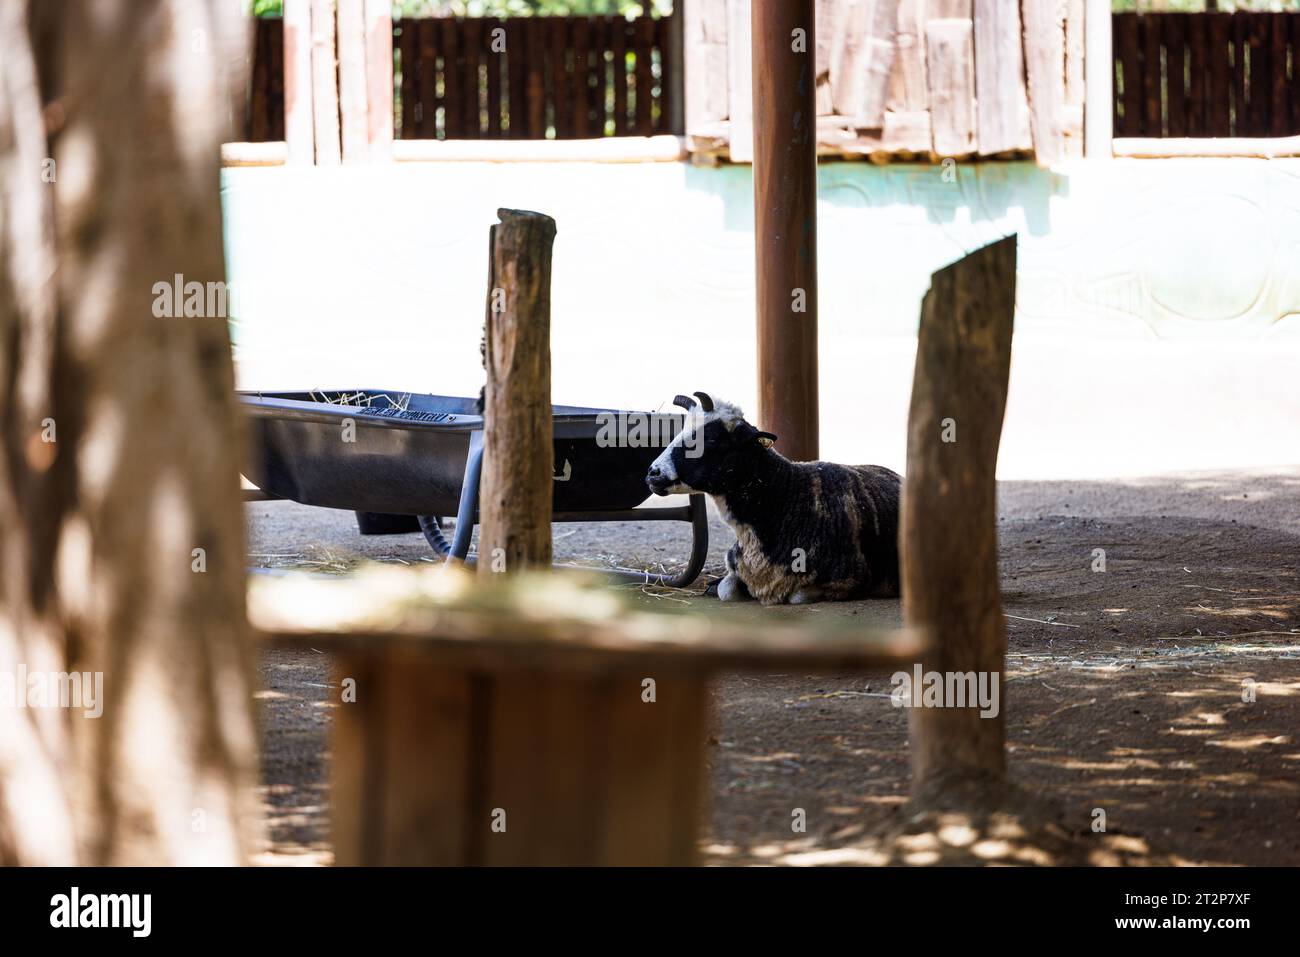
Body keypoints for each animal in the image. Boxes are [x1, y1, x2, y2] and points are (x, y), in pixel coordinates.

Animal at [645, 392, 901, 605]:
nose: (653, 473)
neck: (787, 495)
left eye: (711, 439)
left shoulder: (847, 582)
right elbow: (726, 591)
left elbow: (797, 596)